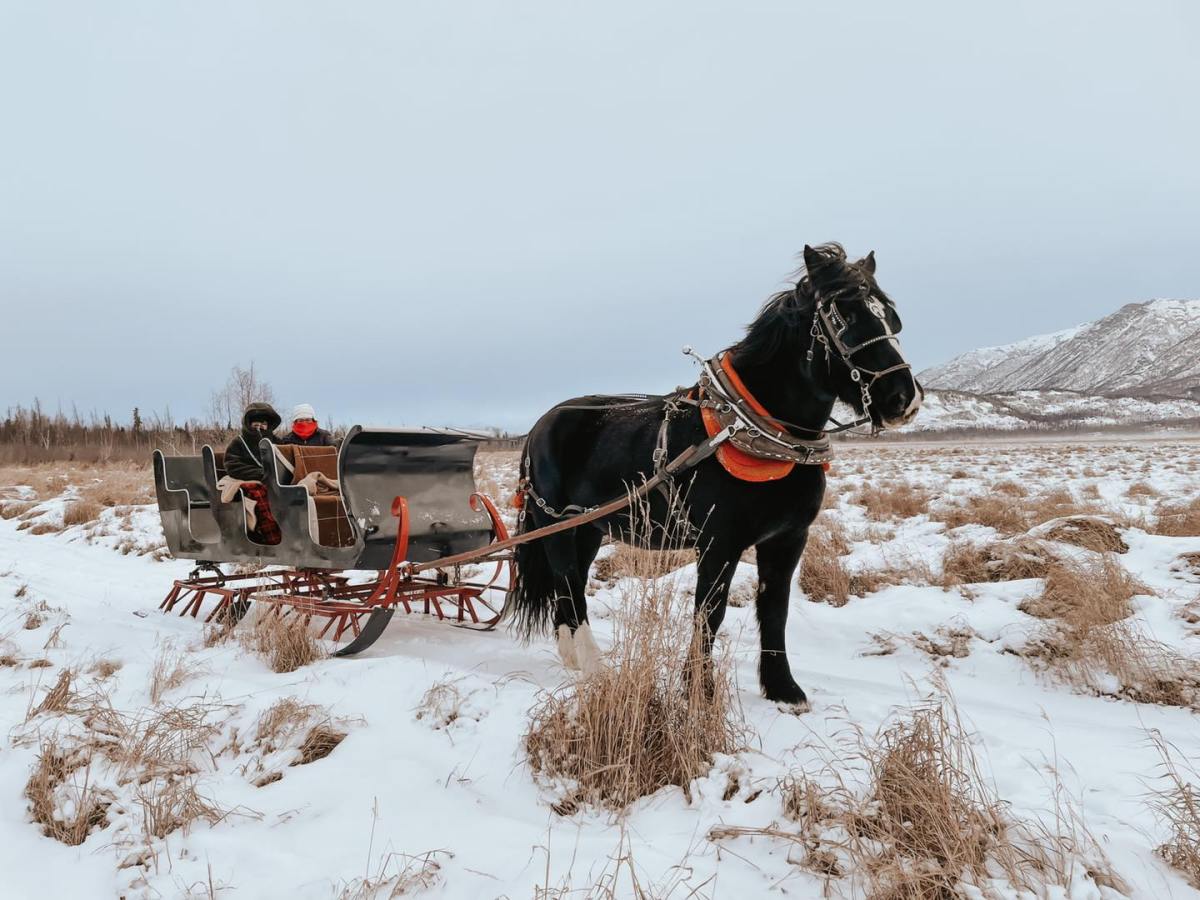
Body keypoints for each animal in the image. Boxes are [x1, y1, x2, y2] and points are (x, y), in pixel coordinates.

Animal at [504, 243, 922, 707]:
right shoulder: (719, 543)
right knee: (567, 582)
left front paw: (783, 688)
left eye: (891, 317)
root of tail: (541, 424)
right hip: (555, 523)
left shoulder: (788, 539)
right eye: (843, 318)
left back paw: (572, 658)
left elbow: (775, 610)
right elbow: (710, 612)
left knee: (571, 584)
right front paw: (699, 690)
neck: (752, 429)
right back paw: (595, 667)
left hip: (588, 527)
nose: (903, 398)